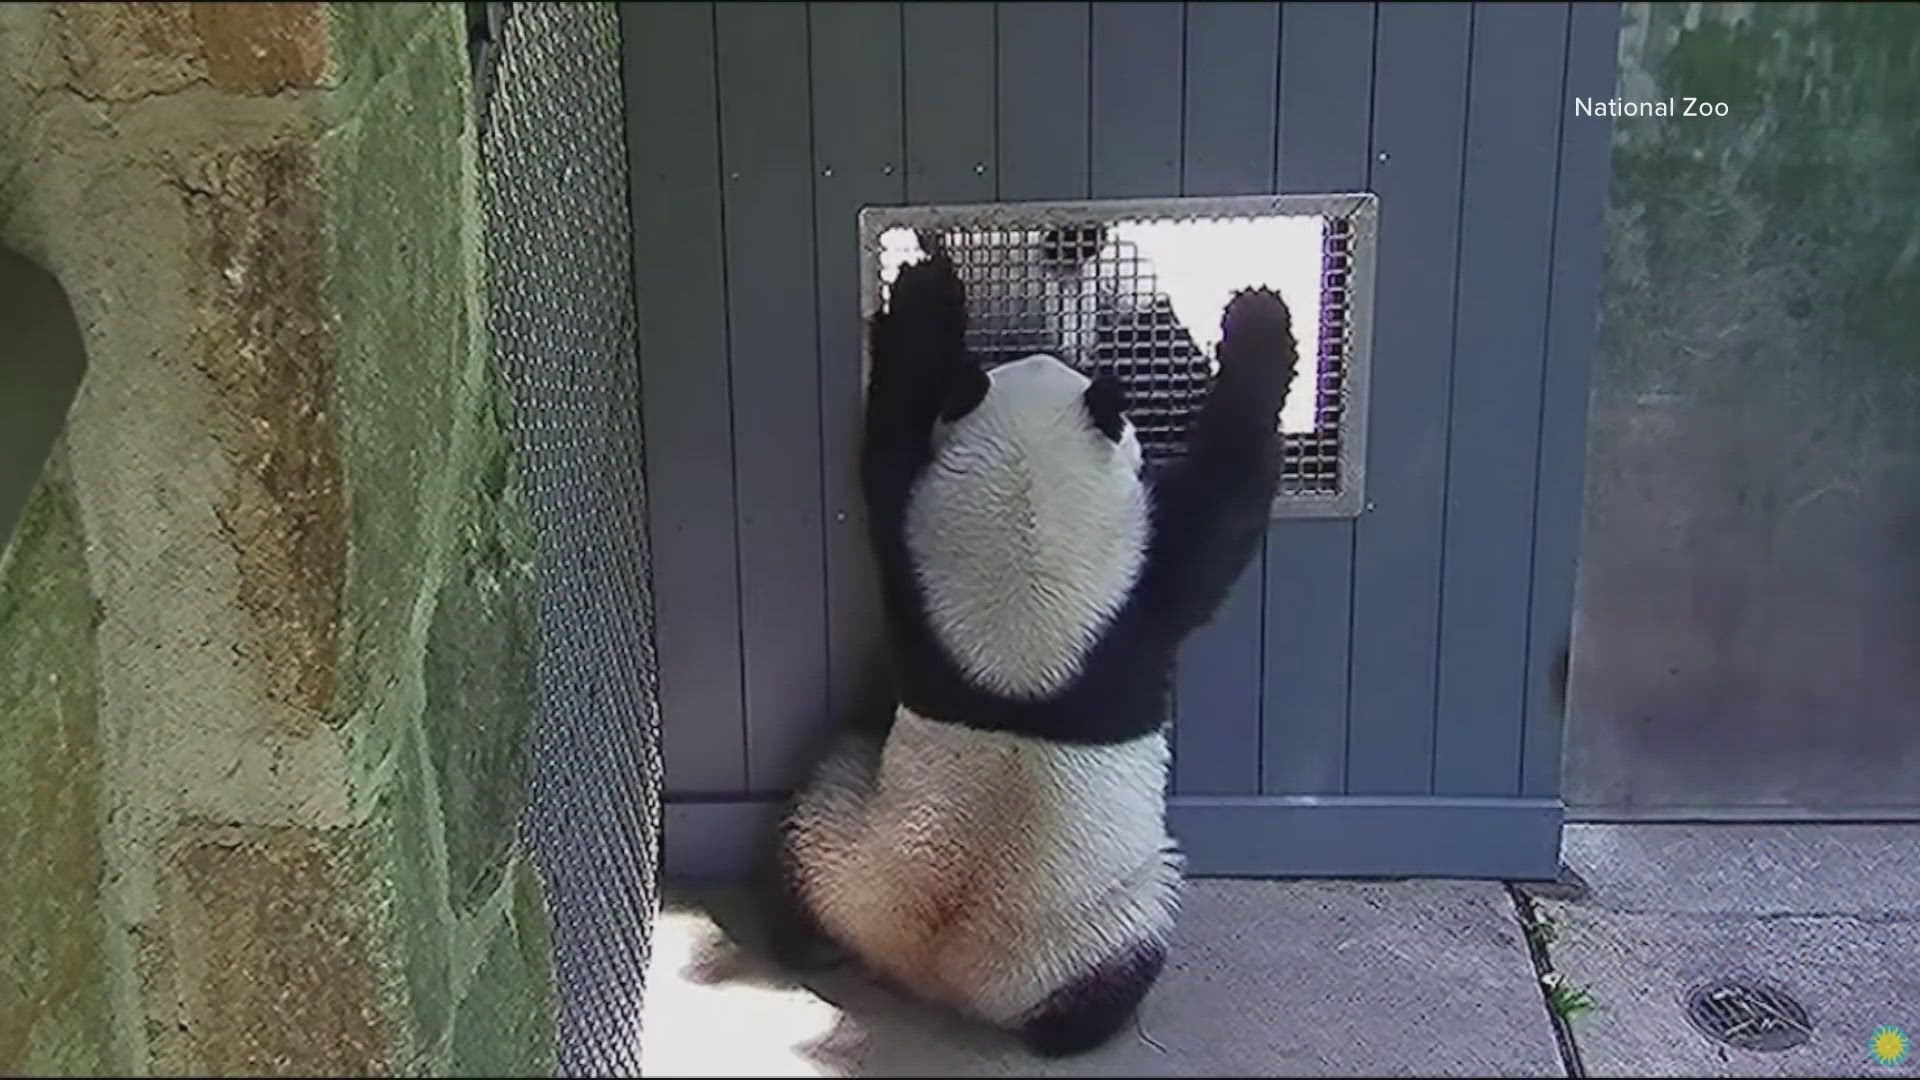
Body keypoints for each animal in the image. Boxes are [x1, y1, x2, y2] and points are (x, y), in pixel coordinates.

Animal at [768, 250, 1297, 1057]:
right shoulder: (1144, 600)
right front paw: (1258, 325)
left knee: (802, 834)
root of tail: (929, 968)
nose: (1055, 350)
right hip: (1094, 924)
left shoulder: (913, 572)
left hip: (846, 846)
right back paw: (1086, 1029)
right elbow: (1226, 503)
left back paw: (801, 940)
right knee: (1122, 959)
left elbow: (887, 450)